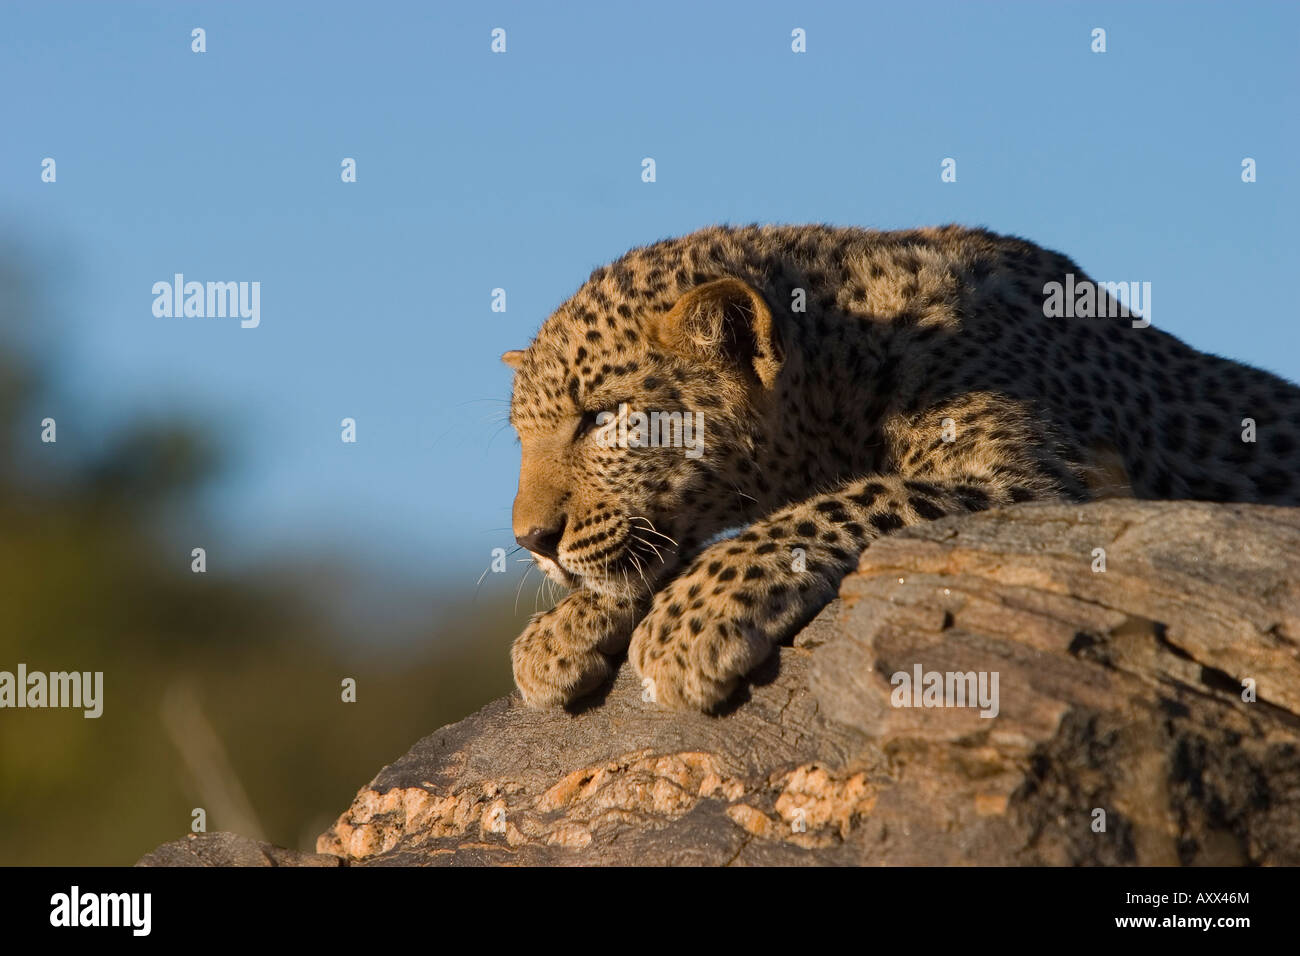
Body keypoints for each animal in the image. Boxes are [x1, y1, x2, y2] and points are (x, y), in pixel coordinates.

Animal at [502, 223, 1300, 712]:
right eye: (521, 436)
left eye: (604, 417)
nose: (530, 541)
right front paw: (560, 632)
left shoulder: (1048, 482)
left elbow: (850, 499)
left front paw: (690, 621)